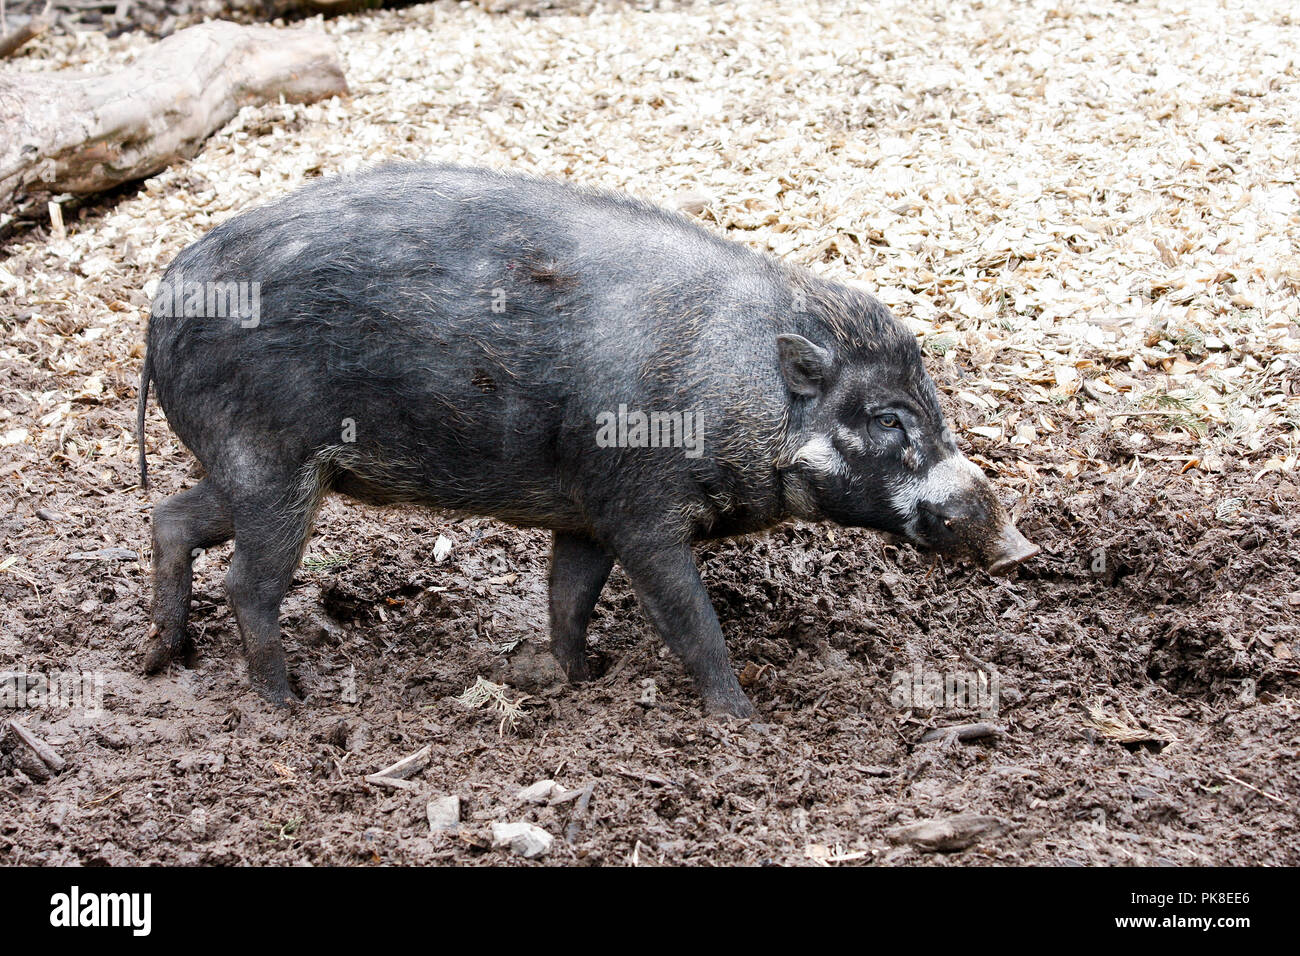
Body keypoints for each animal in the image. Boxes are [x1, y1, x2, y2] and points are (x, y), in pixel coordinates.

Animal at [137, 163, 1037, 717]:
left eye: (933, 401)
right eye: (887, 418)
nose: (1017, 545)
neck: (733, 388)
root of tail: (159, 302)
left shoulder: (587, 513)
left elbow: (568, 599)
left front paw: (582, 679)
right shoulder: (639, 510)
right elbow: (690, 620)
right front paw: (743, 718)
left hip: (263, 471)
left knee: (170, 518)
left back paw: (164, 659)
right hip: (270, 466)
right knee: (248, 582)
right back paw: (288, 704)